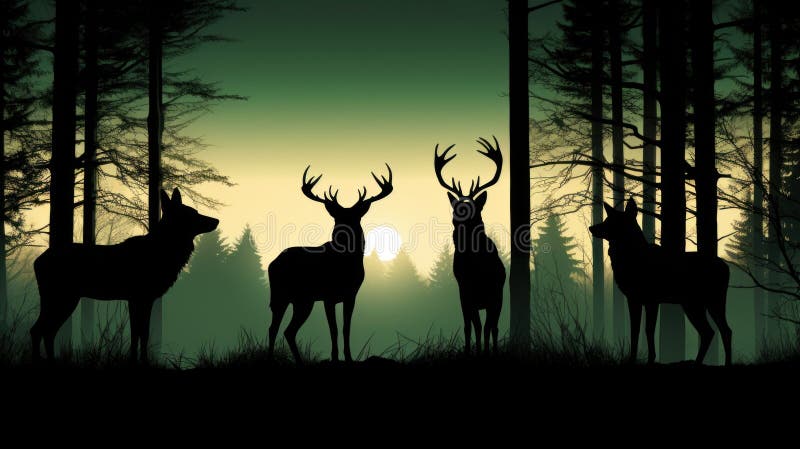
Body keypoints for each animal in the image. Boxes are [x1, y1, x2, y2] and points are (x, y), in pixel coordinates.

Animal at [267, 164, 393, 364]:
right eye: (337, 218)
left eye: (356, 217)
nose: (343, 231)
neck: (345, 263)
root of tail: (271, 264)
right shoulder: (328, 296)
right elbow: (333, 329)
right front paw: (334, 357)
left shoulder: (351, 295)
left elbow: (346, 328)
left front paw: (348, 357)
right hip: (282, 294)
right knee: (275, 328)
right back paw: (271, 359)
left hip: (302, 301)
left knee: (288, 330)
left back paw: (299, 361)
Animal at [434, 136, 506, 355]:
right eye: (454, 213)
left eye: (473, 213)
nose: (458, 233)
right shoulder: (465, 293)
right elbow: (471, 327)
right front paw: (469, 351)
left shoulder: (493, 294)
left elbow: (487, 327)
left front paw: (487, 351)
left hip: (497, 298)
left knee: (494, 326)